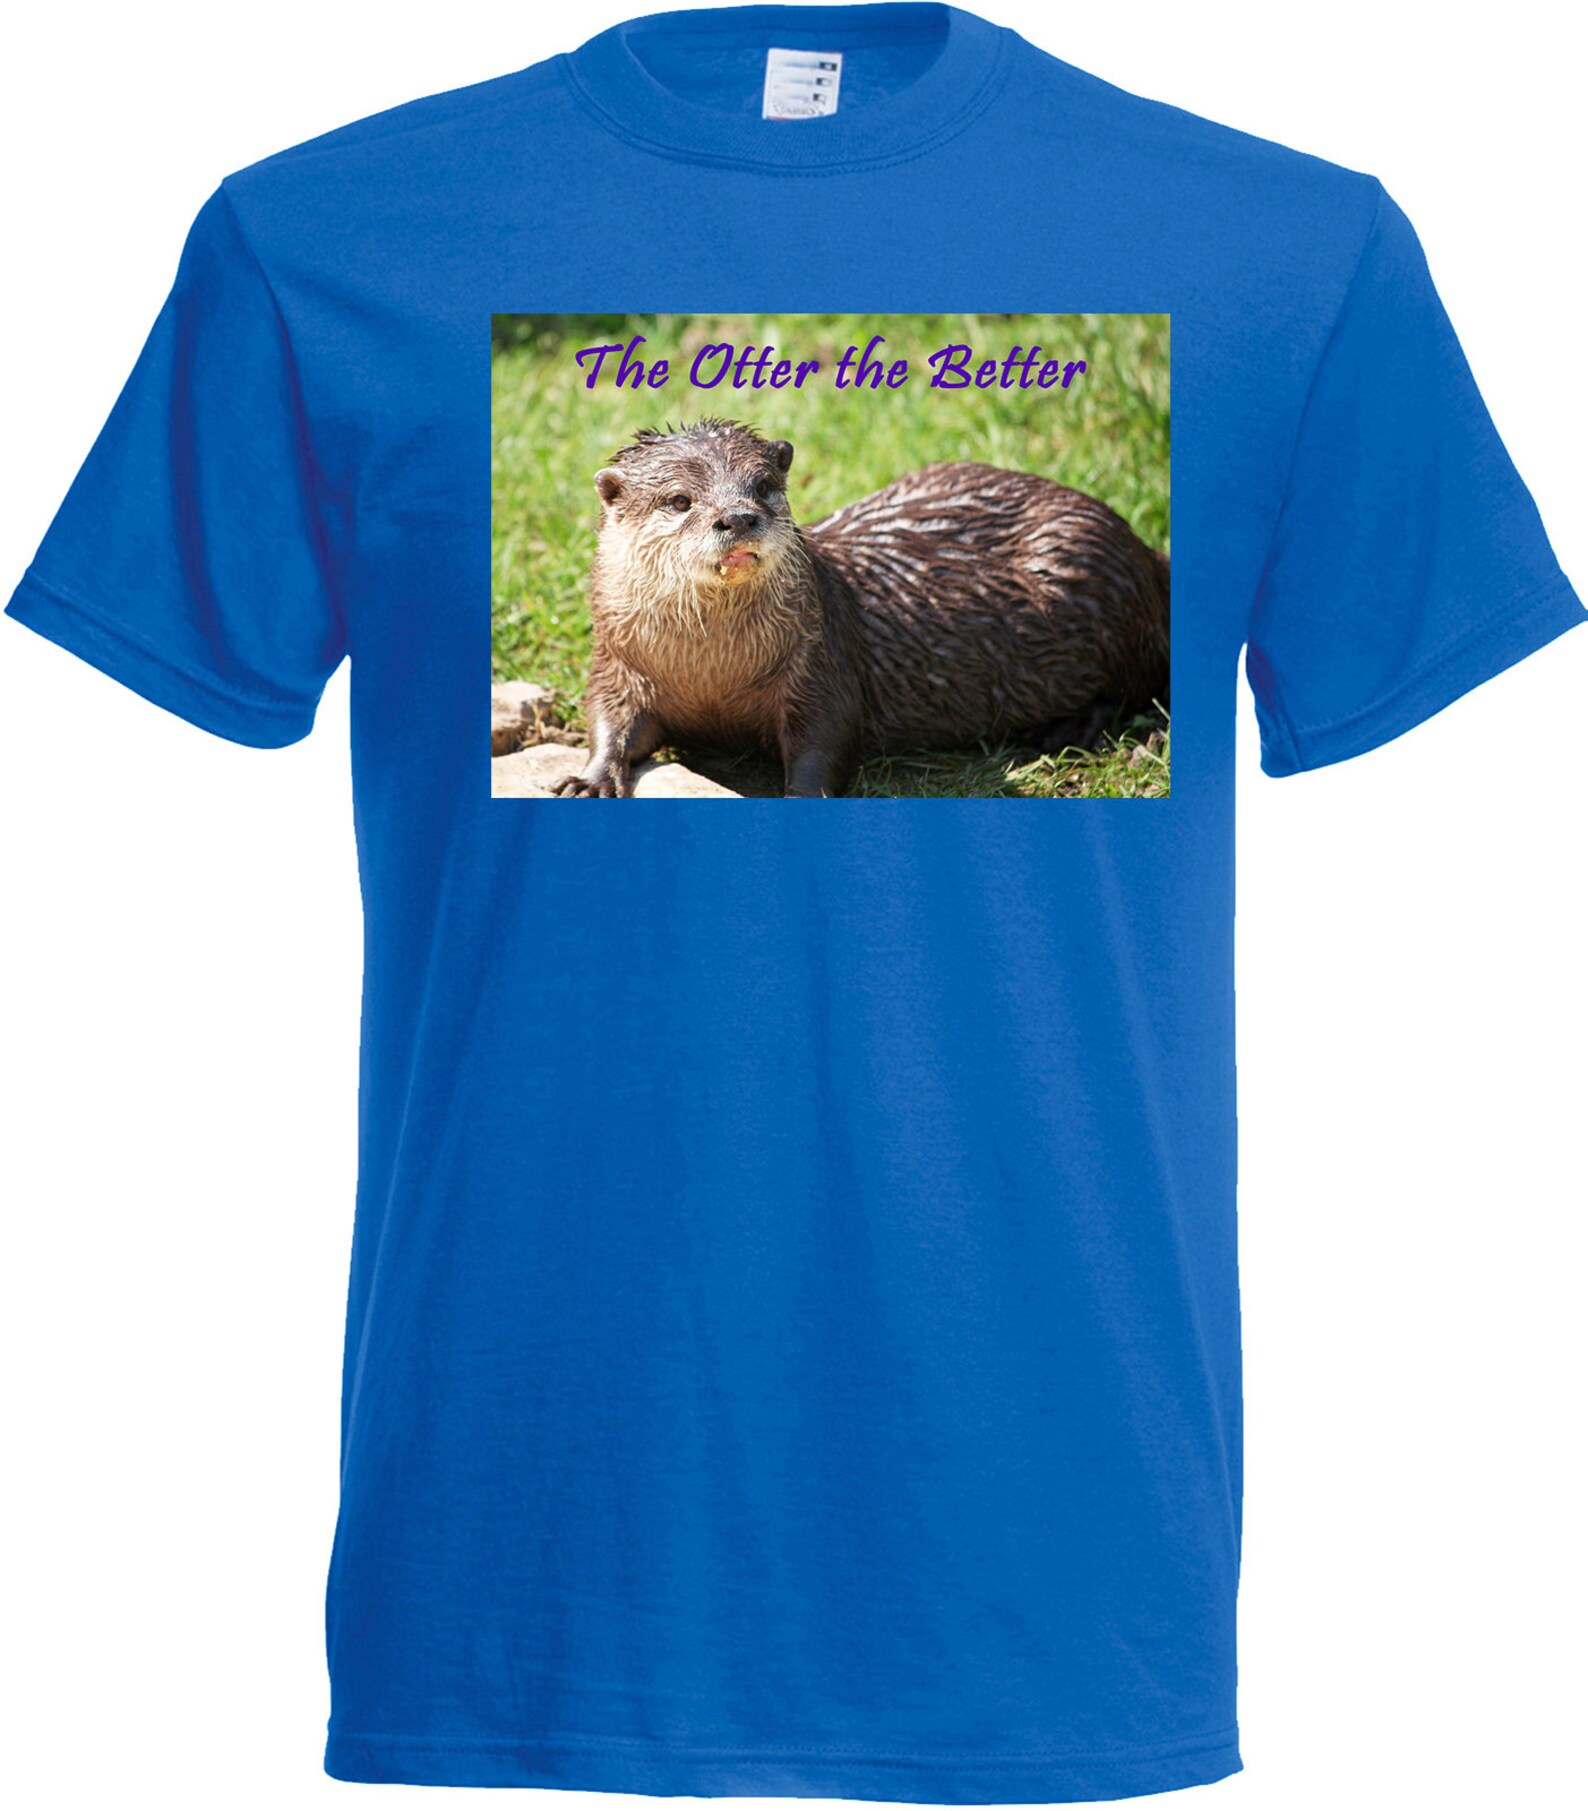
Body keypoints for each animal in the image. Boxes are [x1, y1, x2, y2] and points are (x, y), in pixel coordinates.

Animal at [555, 418, 1168, 798]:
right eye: (680, 499)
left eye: (763, 486)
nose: (738, 517)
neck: (711, 669)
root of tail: (1142, 549)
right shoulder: (617, 661)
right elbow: (609, 718)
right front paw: (590, 778)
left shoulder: (822, 662)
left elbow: (824, 736)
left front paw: (803, 795)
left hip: (1093, 576)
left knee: (1133, 684)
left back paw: (1066, 730)